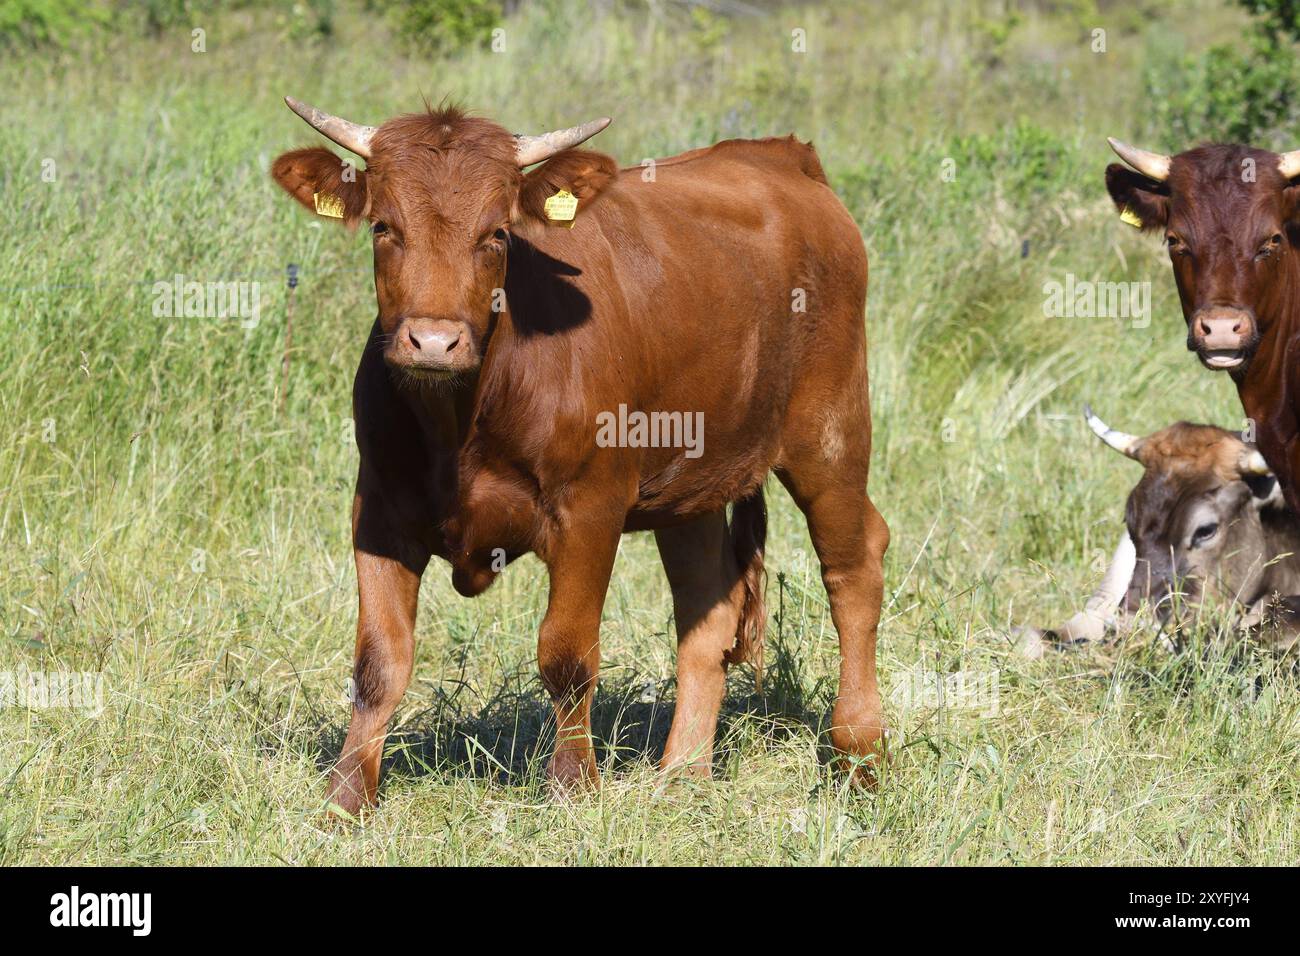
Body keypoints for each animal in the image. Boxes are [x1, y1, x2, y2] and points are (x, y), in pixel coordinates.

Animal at [270, 98, 890, 817]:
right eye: (382, 226)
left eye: (497, 235)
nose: (433, 341)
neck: (461, 421)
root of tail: (779, 155)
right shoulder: (378, 511)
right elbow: (378, 663)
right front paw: (346, 799)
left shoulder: (590, 509)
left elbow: (566, 656)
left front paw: (572, 787)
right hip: (693, 482)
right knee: (708, 610)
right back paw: (681, 776)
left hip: (830, 434)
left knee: (854, 567)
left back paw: (859, 755)